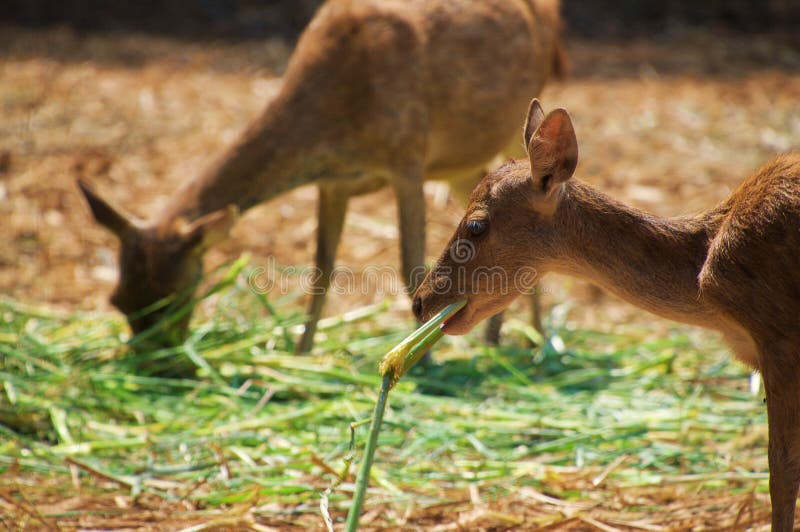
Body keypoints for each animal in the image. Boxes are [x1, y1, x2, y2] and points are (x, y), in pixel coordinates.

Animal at [78, 0, 565, 356]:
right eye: (117, 301)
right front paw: (301, 352)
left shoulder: (407, 157)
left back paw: (538, 341)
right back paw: (497, 339)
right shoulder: (332, 182)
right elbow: (320, 272)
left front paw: (421, 361)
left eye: (176, 297)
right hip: (461, 162)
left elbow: (410, 265)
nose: (153, 364)